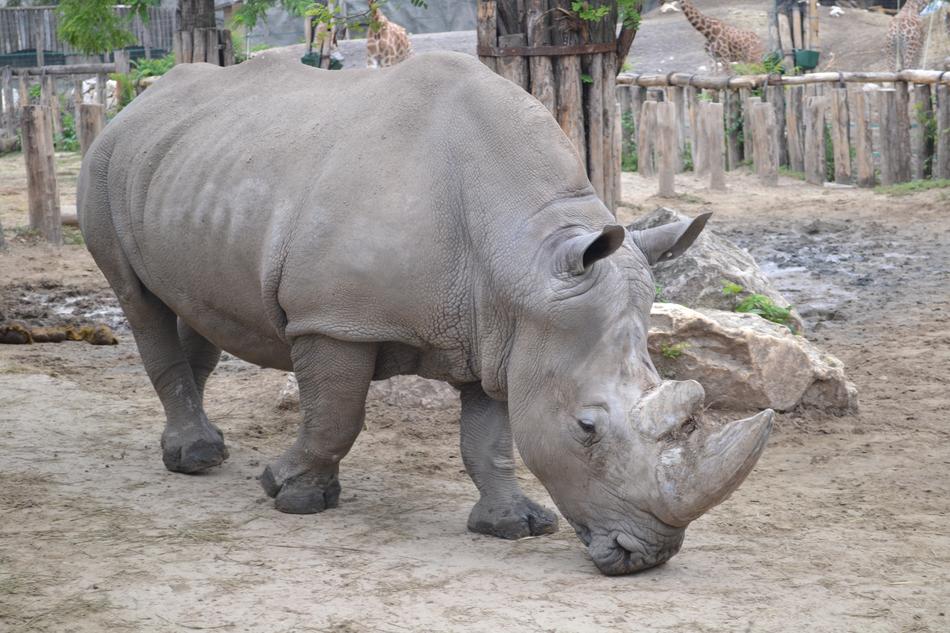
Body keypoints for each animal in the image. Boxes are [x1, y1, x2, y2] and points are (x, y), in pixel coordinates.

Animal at [78, 52, 772, 575]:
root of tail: (136, 104)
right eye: (586, 429)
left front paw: (513, 526)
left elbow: (489, 439)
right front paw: (293, 495)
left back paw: (205, 450)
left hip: (192, 166)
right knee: (139, 300)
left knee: (192, 307)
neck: (524, 251)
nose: (646, 556)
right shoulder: (335, 319)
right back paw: (194, 459)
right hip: (107, 160)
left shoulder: (504, 331)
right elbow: (337, 416)